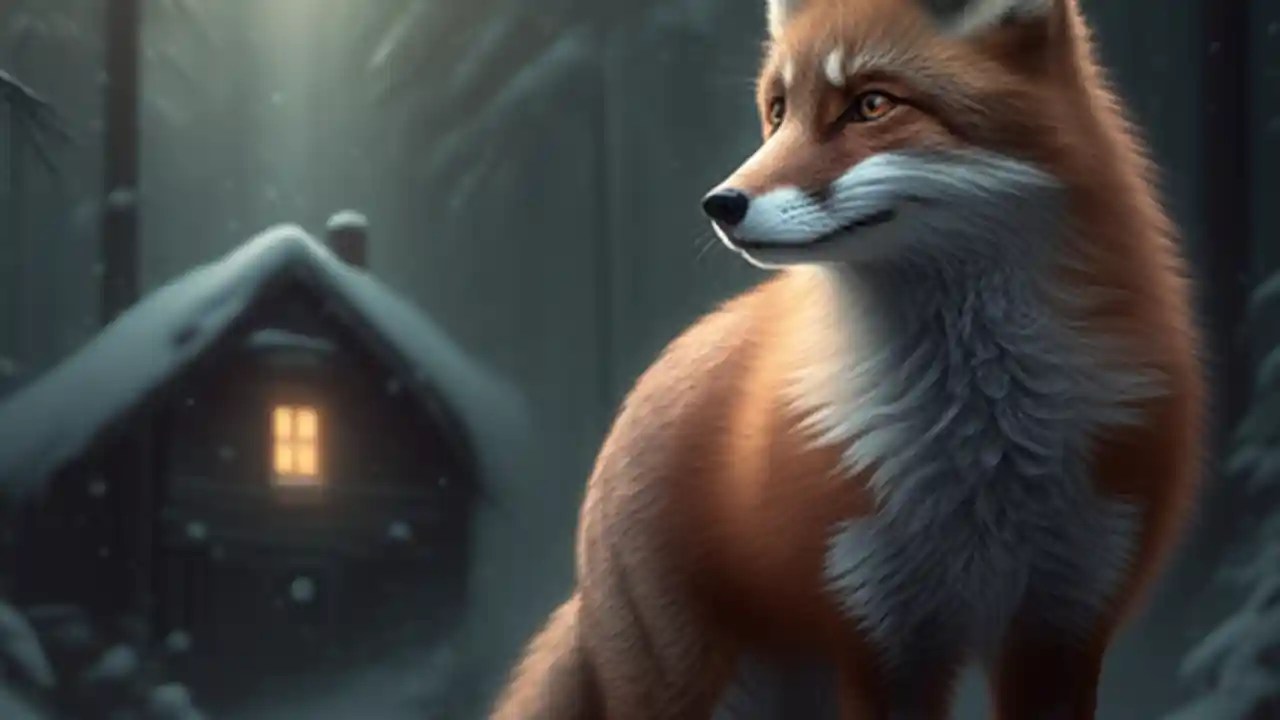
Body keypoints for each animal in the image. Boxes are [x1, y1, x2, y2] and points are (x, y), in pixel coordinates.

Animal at [491, 0, 1204, 718]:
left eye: (870, 105)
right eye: (778, 111)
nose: (720, 204)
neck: (986, 445)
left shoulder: (1063, 626)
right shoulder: (883, 638)